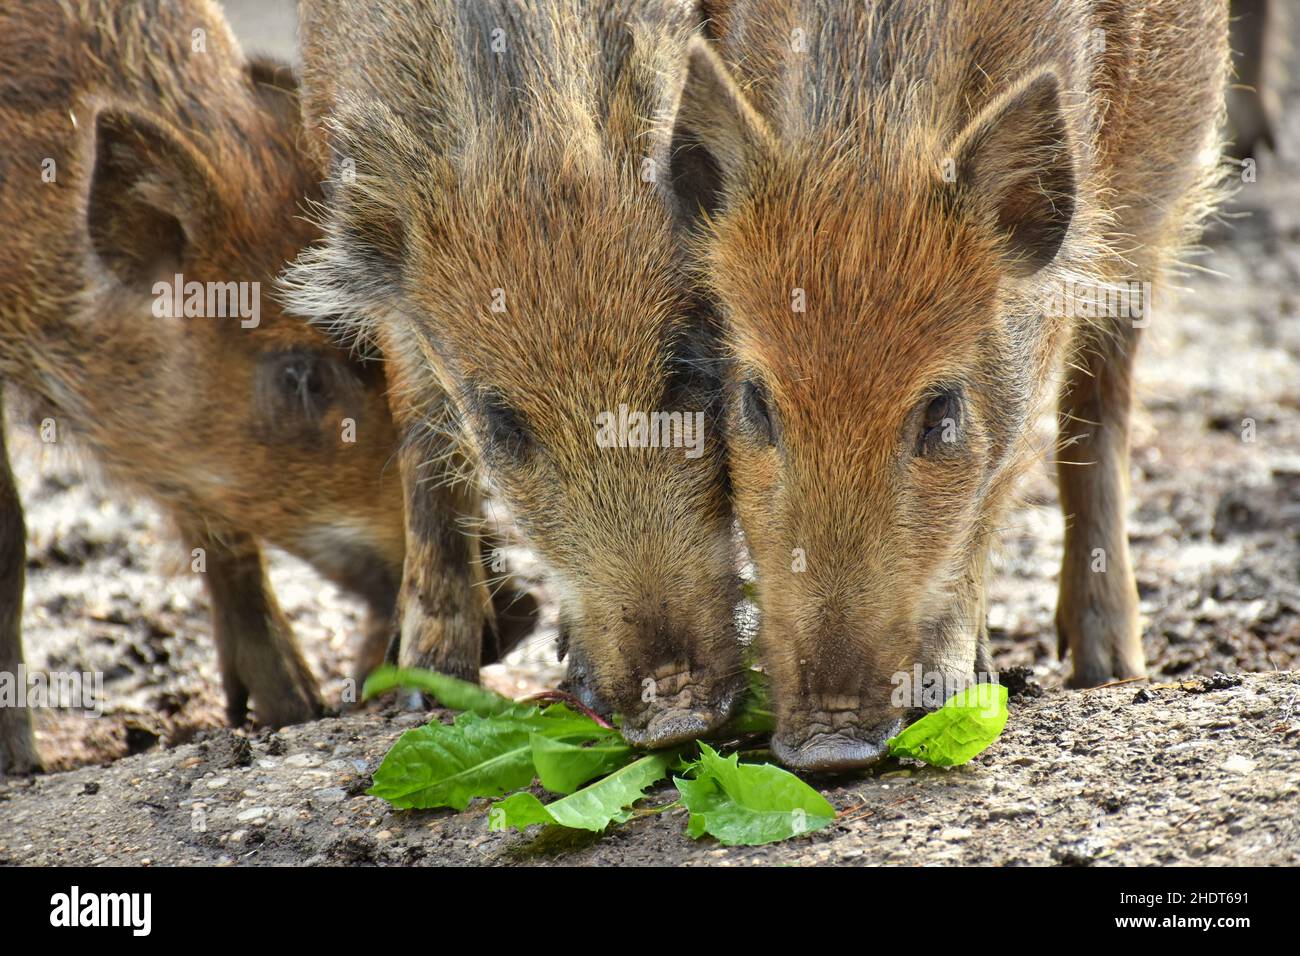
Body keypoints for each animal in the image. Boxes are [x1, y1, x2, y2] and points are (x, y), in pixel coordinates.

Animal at [671, 0, 1229, 769]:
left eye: (943, 410)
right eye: (756, 401)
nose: (829, 747)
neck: (871, 121)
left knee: (1102, 402)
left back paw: (1109, 667)